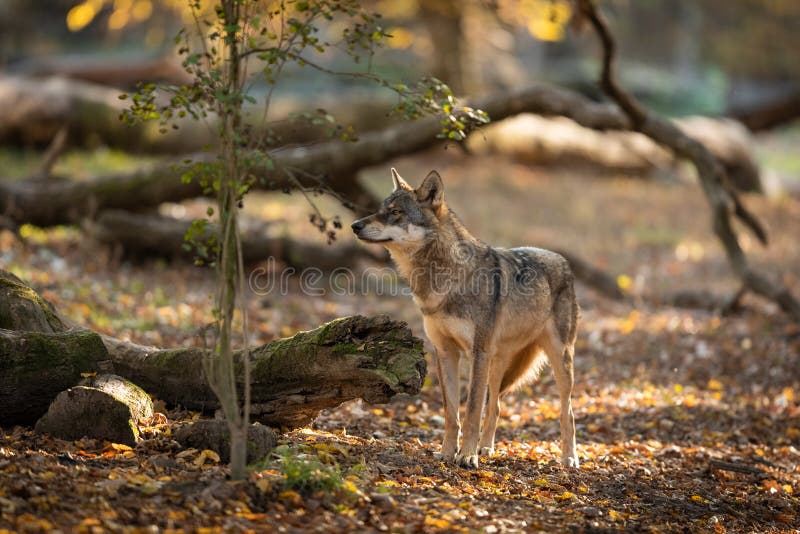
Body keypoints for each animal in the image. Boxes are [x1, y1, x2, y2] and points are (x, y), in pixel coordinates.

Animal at [351, 168, 579, 468]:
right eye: (380, 210)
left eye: (396, 212)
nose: (354, 225)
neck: (443, 279)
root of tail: (562, 260)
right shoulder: (445, 352)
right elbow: (452, 413)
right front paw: (448, 453)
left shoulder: (477, 353)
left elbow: (470, 410)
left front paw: (468, 456)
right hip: (497, 364)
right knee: (495, 405)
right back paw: (487, 448)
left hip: (559, 362)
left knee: (568, 412)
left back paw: (569, 458)